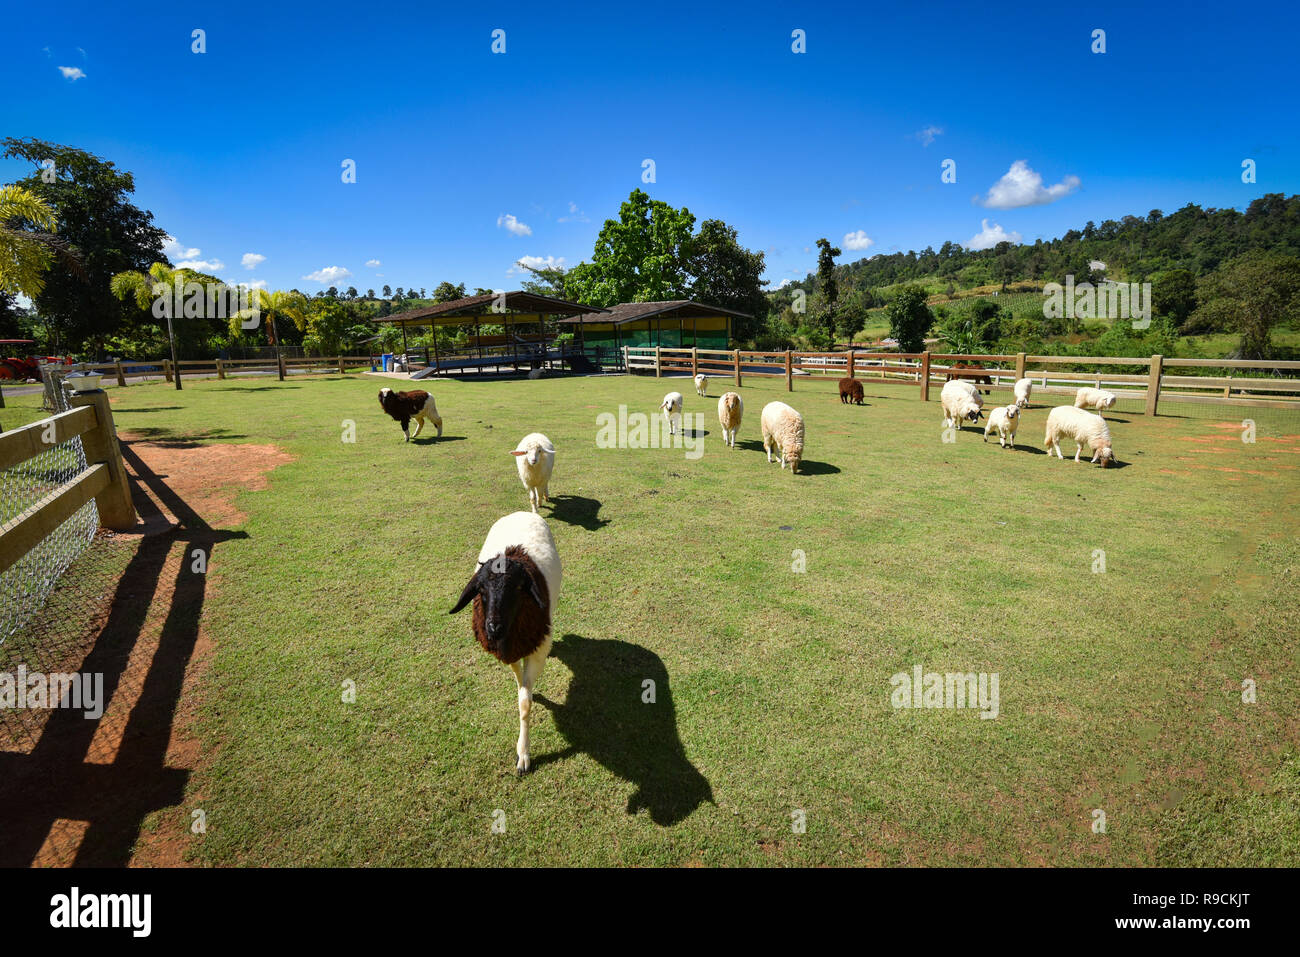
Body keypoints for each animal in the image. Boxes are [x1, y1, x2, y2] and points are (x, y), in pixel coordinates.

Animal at [449, 511, 562, 774]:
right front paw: (523, 686)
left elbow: (525, 704)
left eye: (519, 588)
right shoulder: (509, 650)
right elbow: (519, 681)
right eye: (480, 589)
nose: (493, 628)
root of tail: (523, 512)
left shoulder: (537, 649)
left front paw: (524, 754)